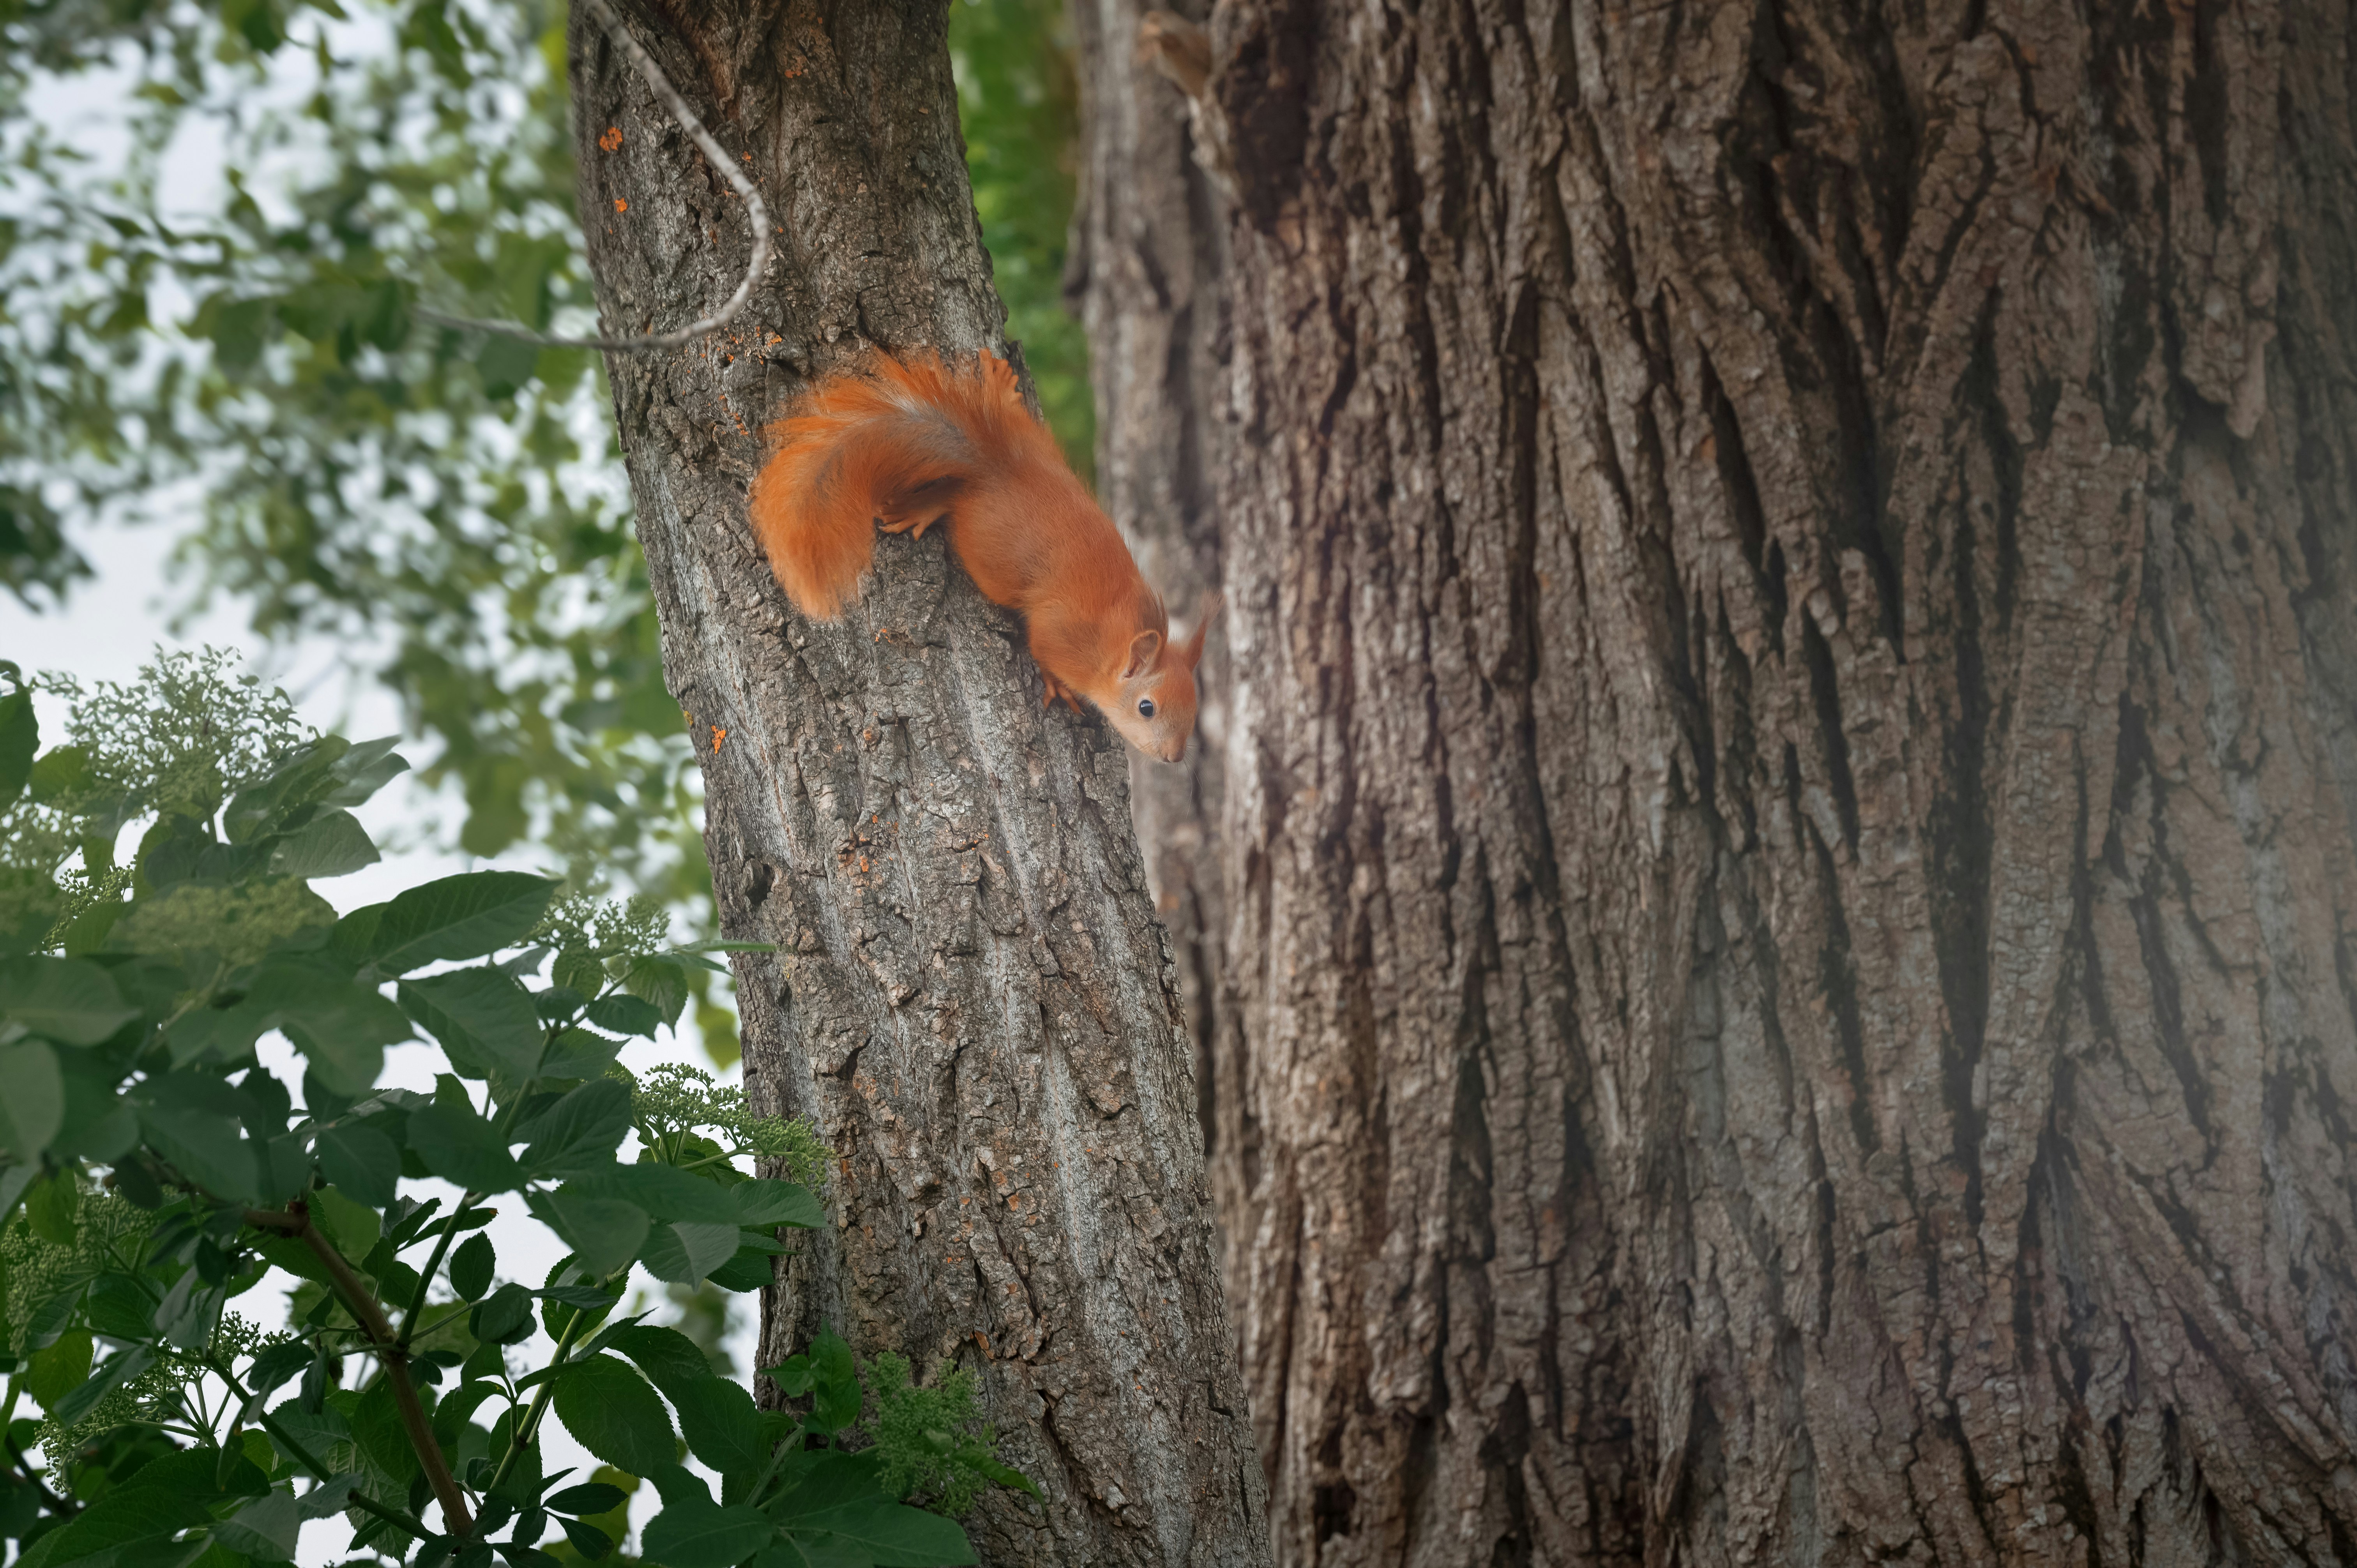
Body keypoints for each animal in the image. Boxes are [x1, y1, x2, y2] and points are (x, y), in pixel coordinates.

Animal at [748, 347, 1213, 763]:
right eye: (1147, 708)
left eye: (1194, 708)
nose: (1174, 757)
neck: (1115, 645)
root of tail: (998, 467)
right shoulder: (1061, 637)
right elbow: (1042, 649)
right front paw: (1057, 686)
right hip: (991, 557)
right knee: (956, 499)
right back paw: (925, 506)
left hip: (1035, 447)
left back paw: (1001, 388)